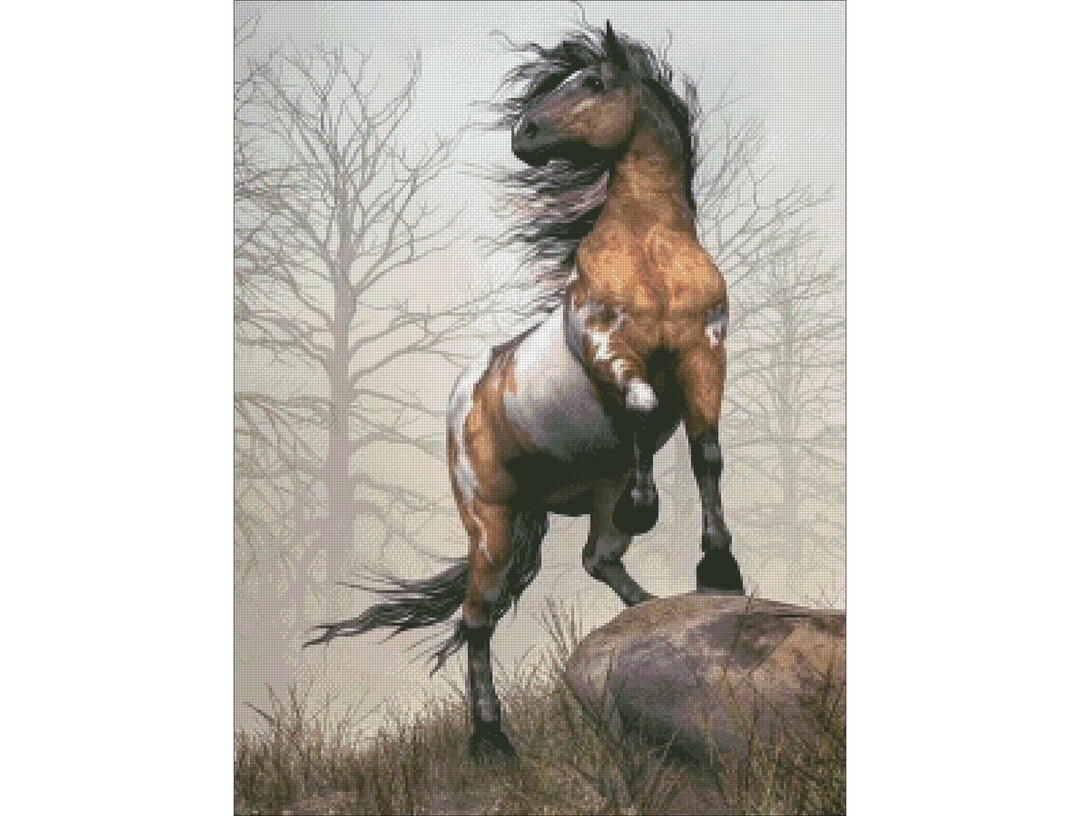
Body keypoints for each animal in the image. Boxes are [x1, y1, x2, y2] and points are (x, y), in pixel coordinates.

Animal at [305, 20, 746, 763]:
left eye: (592, 82)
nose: (525, 132)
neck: (650, 254)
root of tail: (464, 397)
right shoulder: (607, 346)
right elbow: (640, 408)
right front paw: (649, 506)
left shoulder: (703, 353)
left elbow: (705, 453)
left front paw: (720, 568)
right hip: (492, 521)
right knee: (477, 619)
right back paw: (491, 739)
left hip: (573, 501)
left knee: (597, 562)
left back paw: (647, 606)